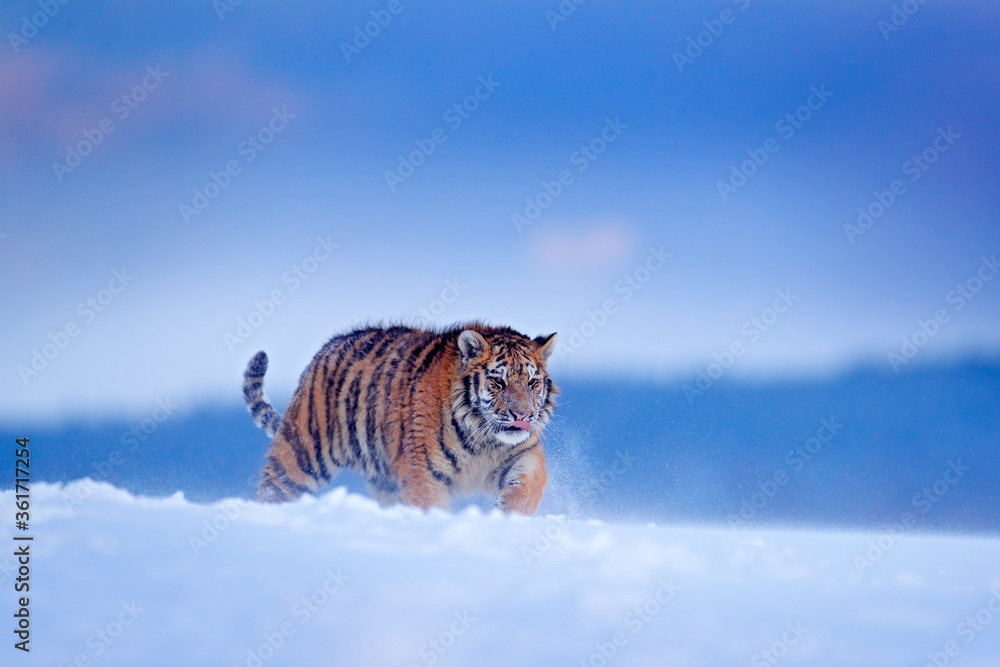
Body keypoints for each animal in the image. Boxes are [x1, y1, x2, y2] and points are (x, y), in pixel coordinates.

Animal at [242, 323, 559, 515]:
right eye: (498, 382)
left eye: (532, 383)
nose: (521, 415)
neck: (484, 439)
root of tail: (322, 352)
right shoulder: (421, 471)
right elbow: (430, 506)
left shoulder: (524, 452)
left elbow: (527, 487)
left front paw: (507, 512)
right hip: (300, 456)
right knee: (273, 490)